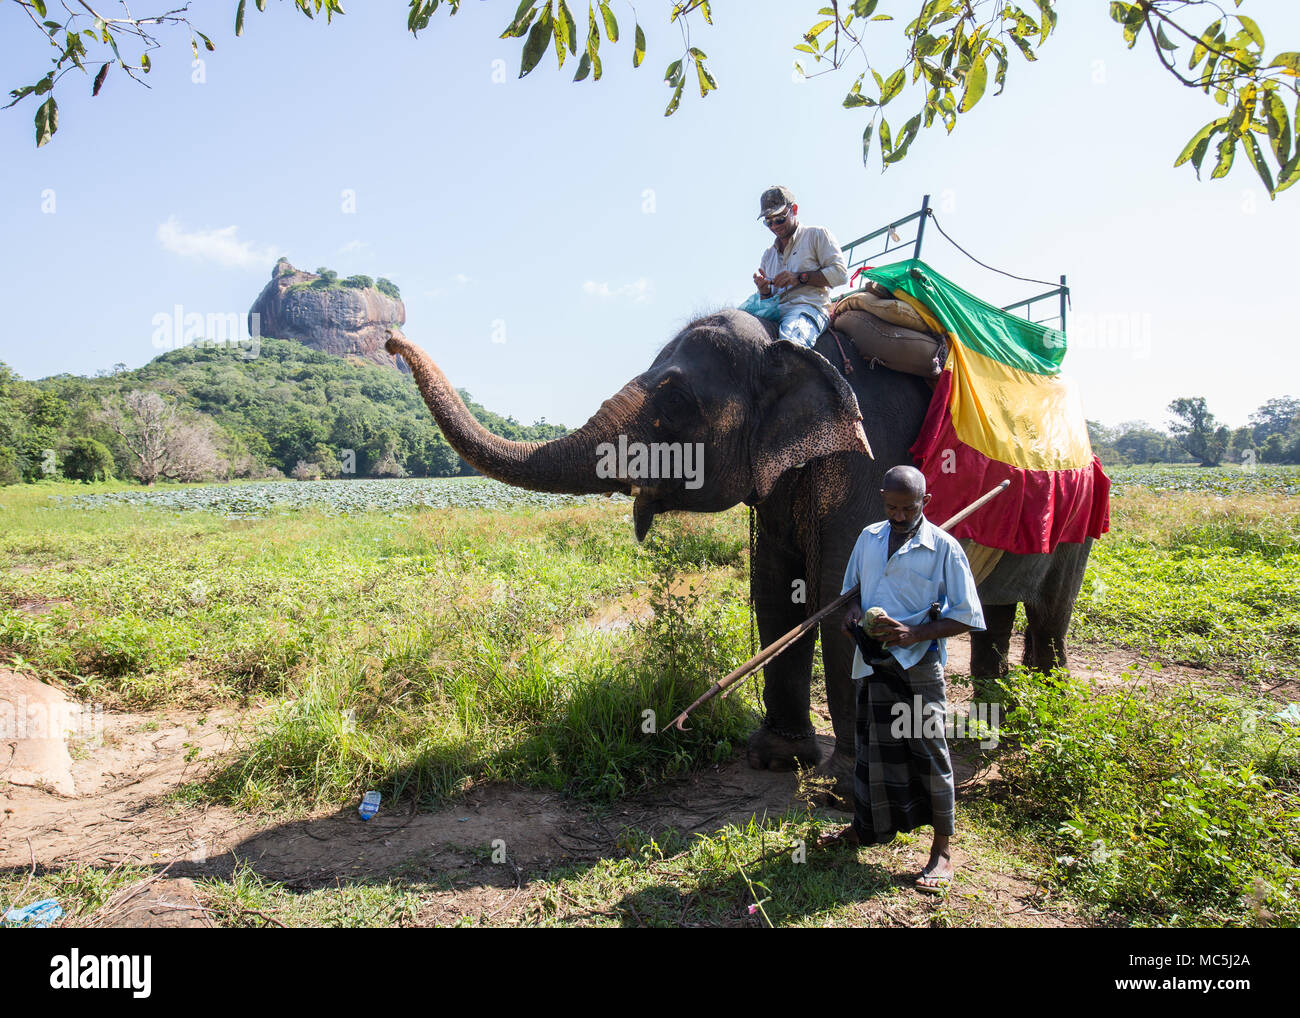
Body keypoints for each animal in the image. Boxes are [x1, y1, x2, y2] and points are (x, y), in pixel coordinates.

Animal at [384, 312, 1092, 801]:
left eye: (674, 400)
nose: (391, 340)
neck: (791, 347)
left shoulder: (866, 460)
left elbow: (845, 599)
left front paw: (845, 792)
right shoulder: (782, 485)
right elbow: (778, 591)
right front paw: (777, 760)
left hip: (1080, 523)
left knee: (1050, 611)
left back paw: (1039, 718)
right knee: (993, 610)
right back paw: (990, 720)